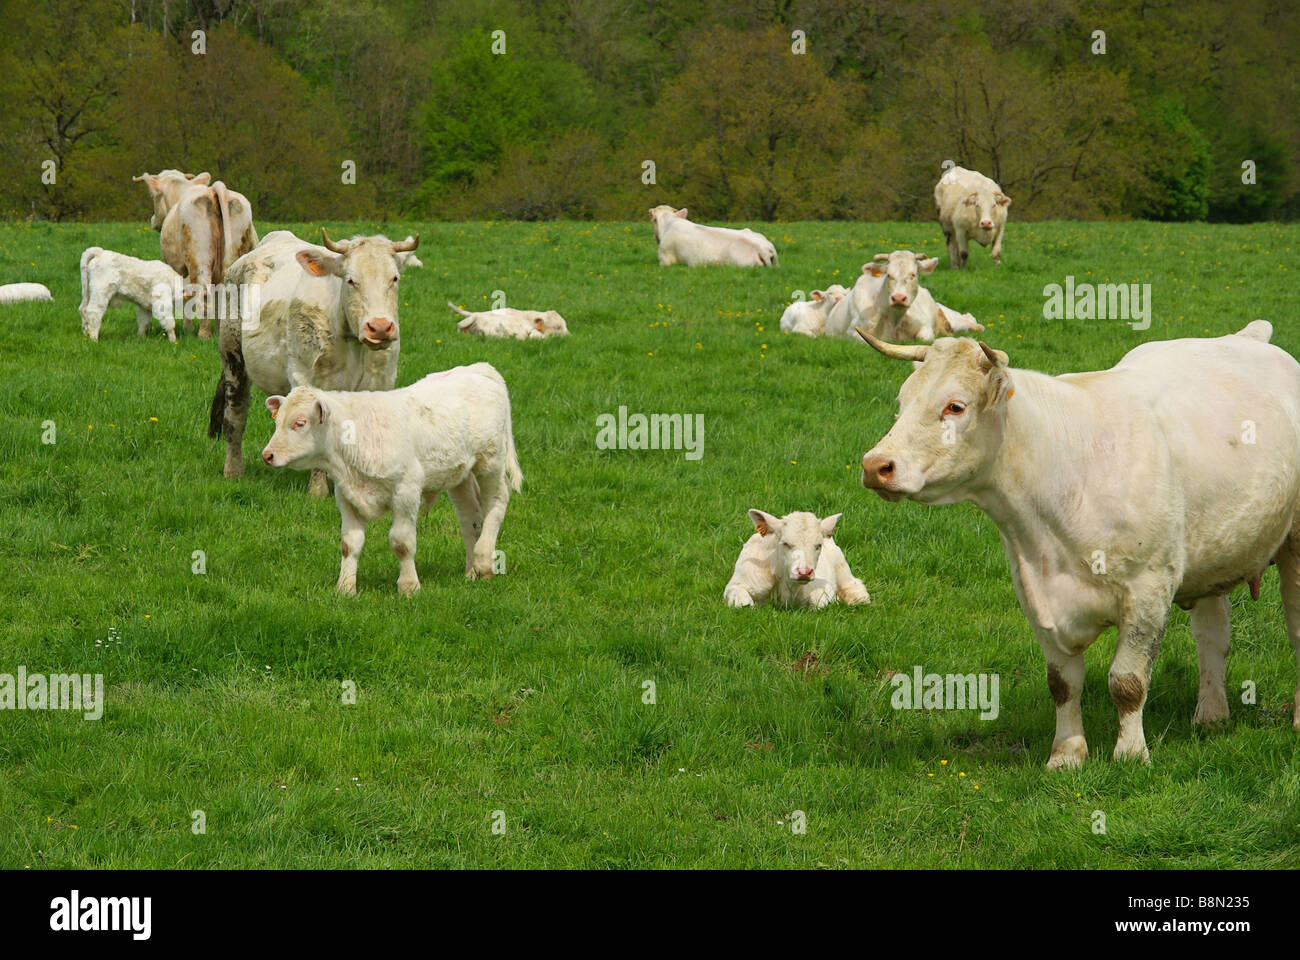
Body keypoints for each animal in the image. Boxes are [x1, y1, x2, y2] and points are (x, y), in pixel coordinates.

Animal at [134, 168, 258, 337]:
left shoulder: (180, 270)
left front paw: (188, 329)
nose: (153, 220)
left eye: (154, 197)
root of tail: (214, 189)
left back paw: (203, 335)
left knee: (203, 295)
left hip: (199, 259)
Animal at [210, 229, 421, 497]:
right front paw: (318, 491)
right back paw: (233, 470)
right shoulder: (308, 381)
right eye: (351, 280)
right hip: (232, 356)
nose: (380, 327)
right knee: (236, 414)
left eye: (394, 278)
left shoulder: (381, 383)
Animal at [261, 363, 522, 594]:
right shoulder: (346, 496)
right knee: (471, 517)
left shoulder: (406, 491)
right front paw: (345, 588)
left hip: (490, 461)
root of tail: (480, 368)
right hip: (459, 474)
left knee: (498, 500)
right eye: (277, 421)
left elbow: (402, 543)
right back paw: (471, 572)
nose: (267, 455)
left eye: (300, 422)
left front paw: (409, 587)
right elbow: (349, 543)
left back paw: (483, 560)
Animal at [724, 510, 870, 608]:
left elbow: (819, 602)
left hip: (843, 570)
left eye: (818, 545)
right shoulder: (735, 585)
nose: (804, 572)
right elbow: (744, 603)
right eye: (785, 543)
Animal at [856, 321, 1300, 768]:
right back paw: (1210, 715)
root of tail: (1249, 337)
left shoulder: (1148, 588)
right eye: (901, 402)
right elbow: (1063, 684)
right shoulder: (1033, 593)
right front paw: (1066, 755)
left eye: (955, 406)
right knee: (1212, 636)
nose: (875, 465)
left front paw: (1130, 754)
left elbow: (1127, 681)